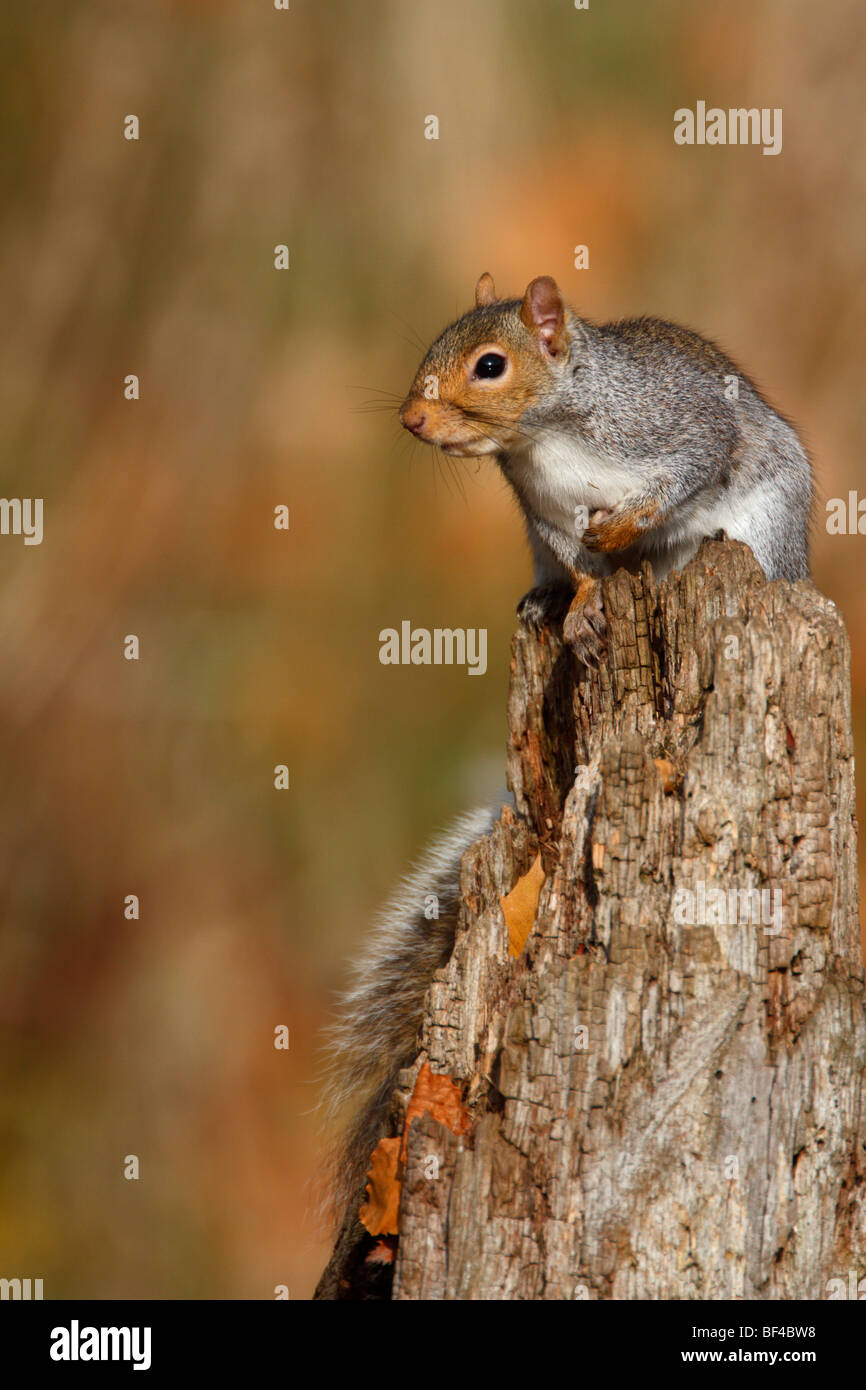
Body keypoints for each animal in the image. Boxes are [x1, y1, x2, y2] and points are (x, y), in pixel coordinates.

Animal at [322, 275, 813, 1238]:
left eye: (490, 364)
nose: (411, 419)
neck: (546, 436)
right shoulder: (545, 520)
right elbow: (582, 566)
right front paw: (584, 606)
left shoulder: (676, 425)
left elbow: (686, 470)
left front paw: (629, 529)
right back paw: (548, 604)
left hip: (769, 532)